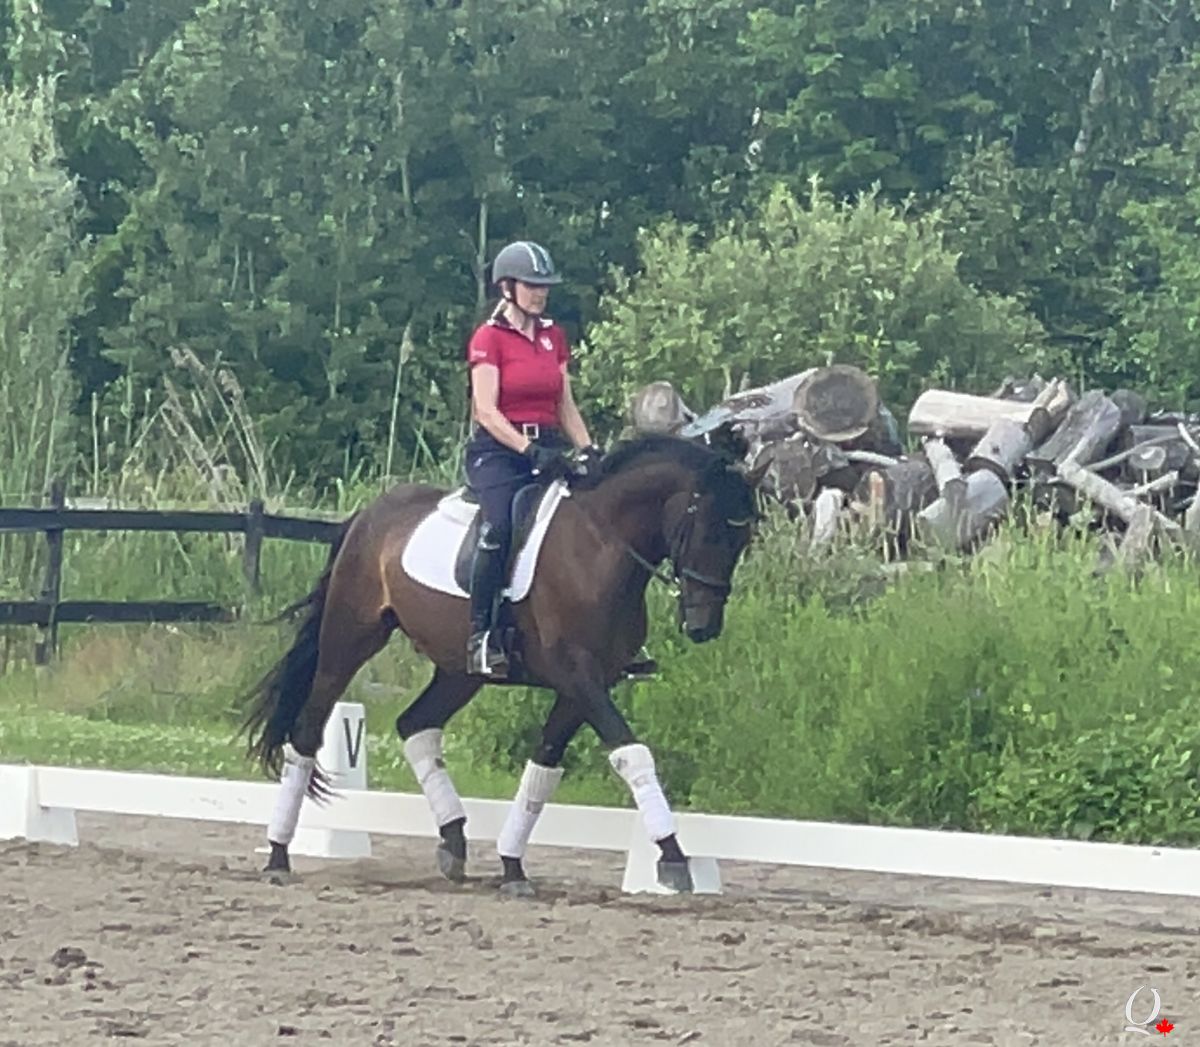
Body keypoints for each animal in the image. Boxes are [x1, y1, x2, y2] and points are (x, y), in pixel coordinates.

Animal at [239, 434, 767, 895]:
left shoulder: (586, 684)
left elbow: (545, 767)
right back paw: (278, 856)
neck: (600, 546)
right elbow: (631, 754)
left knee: (416, 725)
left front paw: (513, 867)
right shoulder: (579, 674)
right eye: (709, 530)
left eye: (743, 540)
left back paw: (453, 842)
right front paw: (674, 859)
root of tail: (369, 515)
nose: (703, 626)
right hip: (349, 639)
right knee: (308, 730)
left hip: (460, 670)